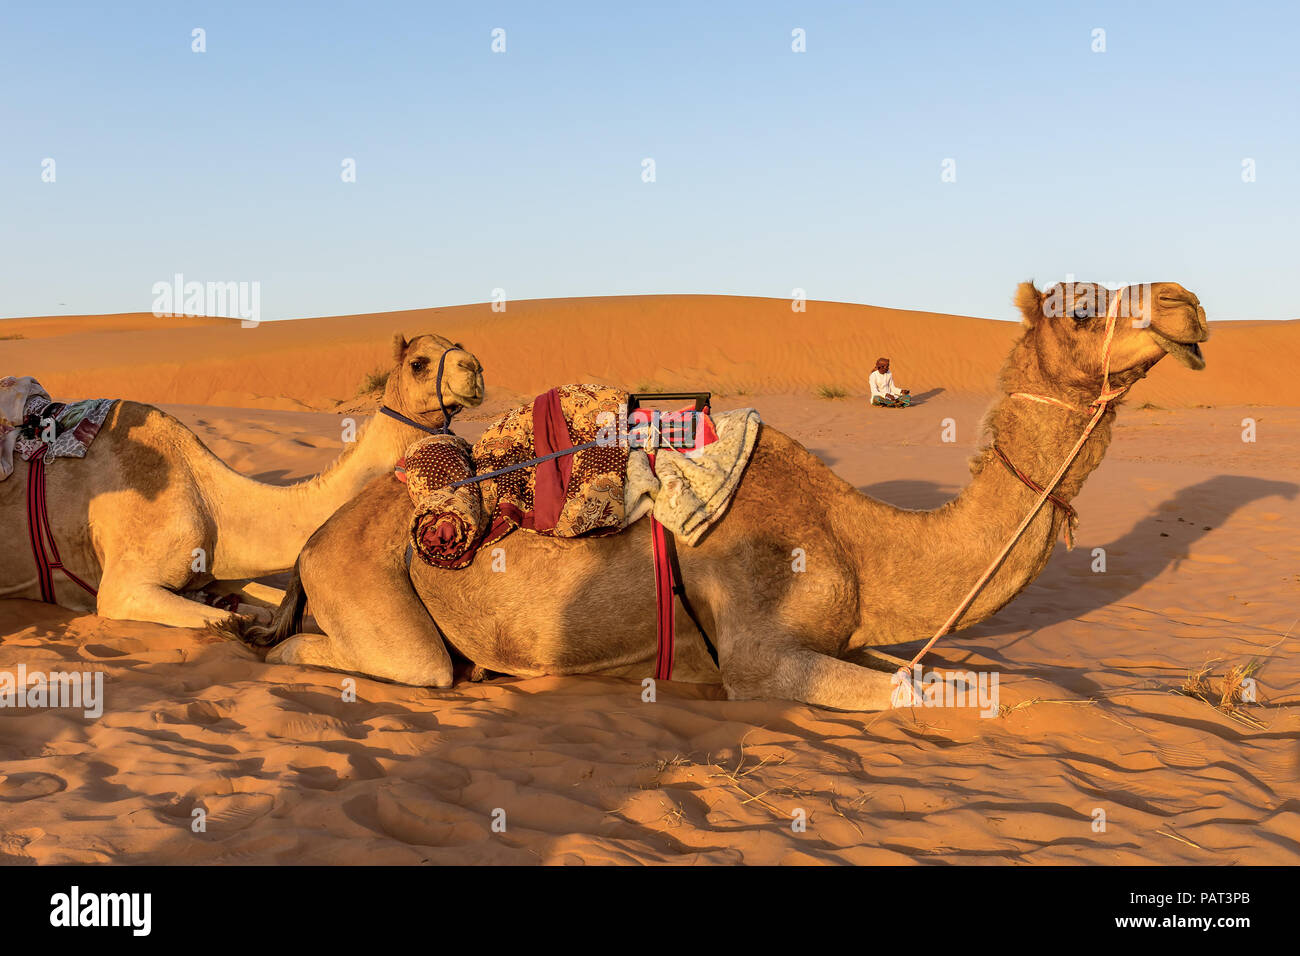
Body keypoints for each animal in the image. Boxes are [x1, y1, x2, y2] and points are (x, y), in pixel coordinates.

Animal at [0, 333, 484, 629]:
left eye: (457, 346)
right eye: (419, 363)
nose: (475, 367)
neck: (212, 503)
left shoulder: (217, 573)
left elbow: (254, 602)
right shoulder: (124, 588)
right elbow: (239, 618)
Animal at [245, 282, 1208, 711]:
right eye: (1080, 308)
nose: (1186, 302)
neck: (858, 540)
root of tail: (316, 539)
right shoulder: (759, 656)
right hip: (374, 596)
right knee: (378, 662)